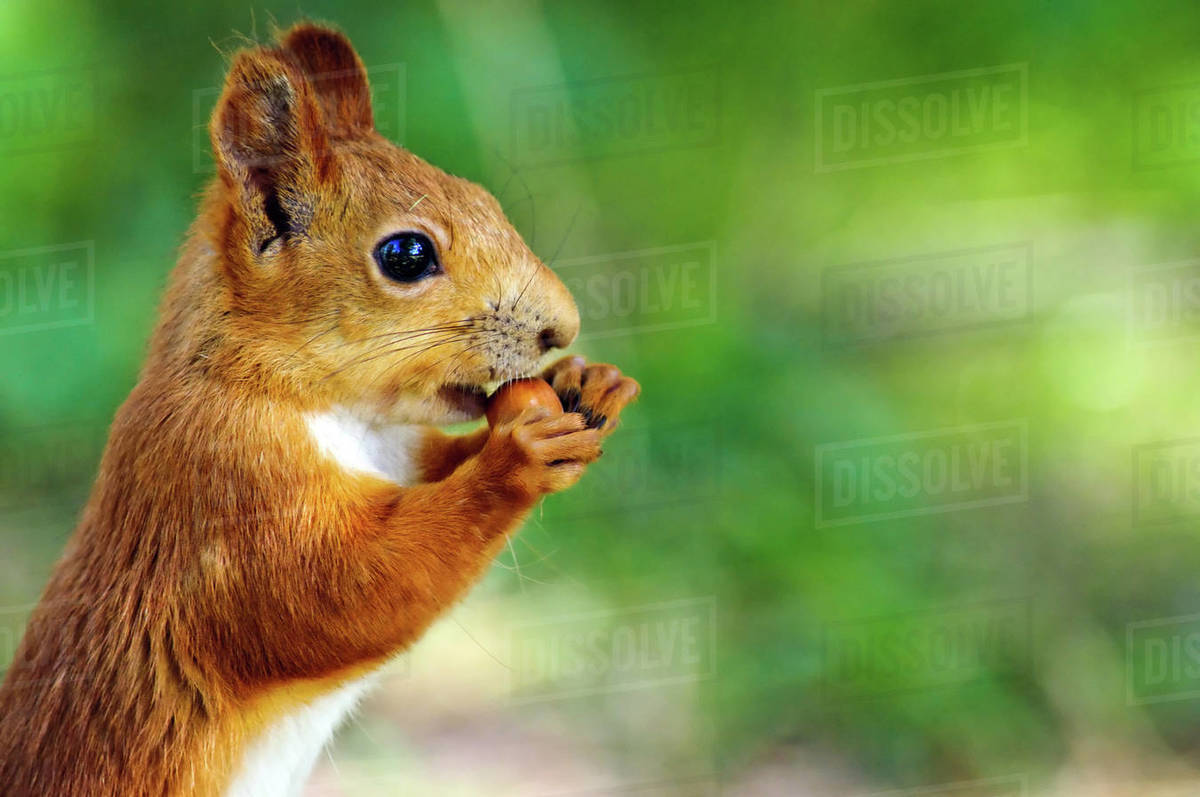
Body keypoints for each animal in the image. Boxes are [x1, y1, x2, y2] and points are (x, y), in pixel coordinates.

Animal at [0, 22, 639, 797]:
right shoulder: (223, 493)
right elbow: (340, 594)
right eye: (405, 255)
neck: (341, 413)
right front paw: (518, 458)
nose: (563, 328)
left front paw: (587, 384)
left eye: (484, 198)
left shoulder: (405, 450)